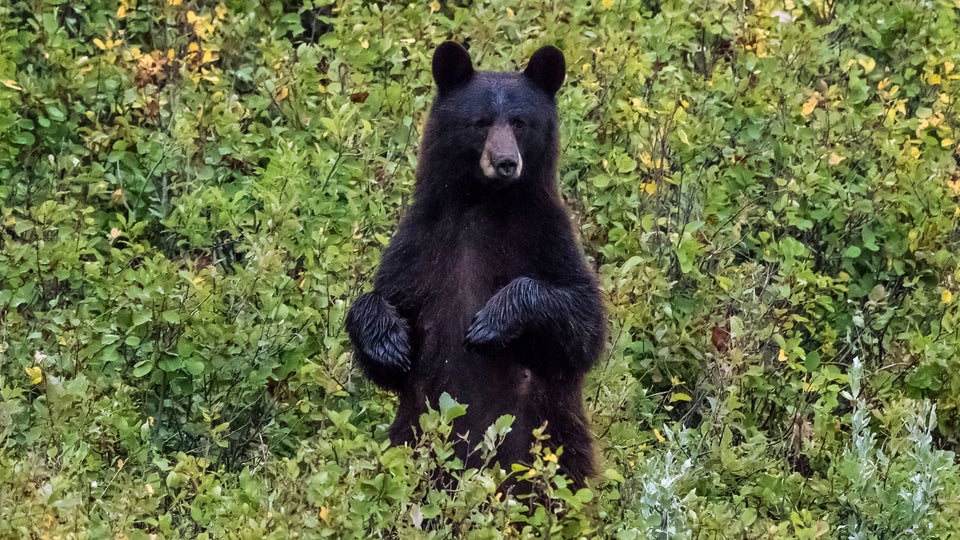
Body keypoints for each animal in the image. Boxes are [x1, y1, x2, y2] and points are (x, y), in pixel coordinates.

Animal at [345, 41, 605, 487]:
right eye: (480, 122)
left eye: (520, 122)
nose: (506, 162)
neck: (485, 204)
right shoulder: (423, 242)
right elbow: (387, 305)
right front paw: (388, 341)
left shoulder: (548, 237)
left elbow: (583, 324)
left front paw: (490, 322)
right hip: (412, 436)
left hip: (546, 444)